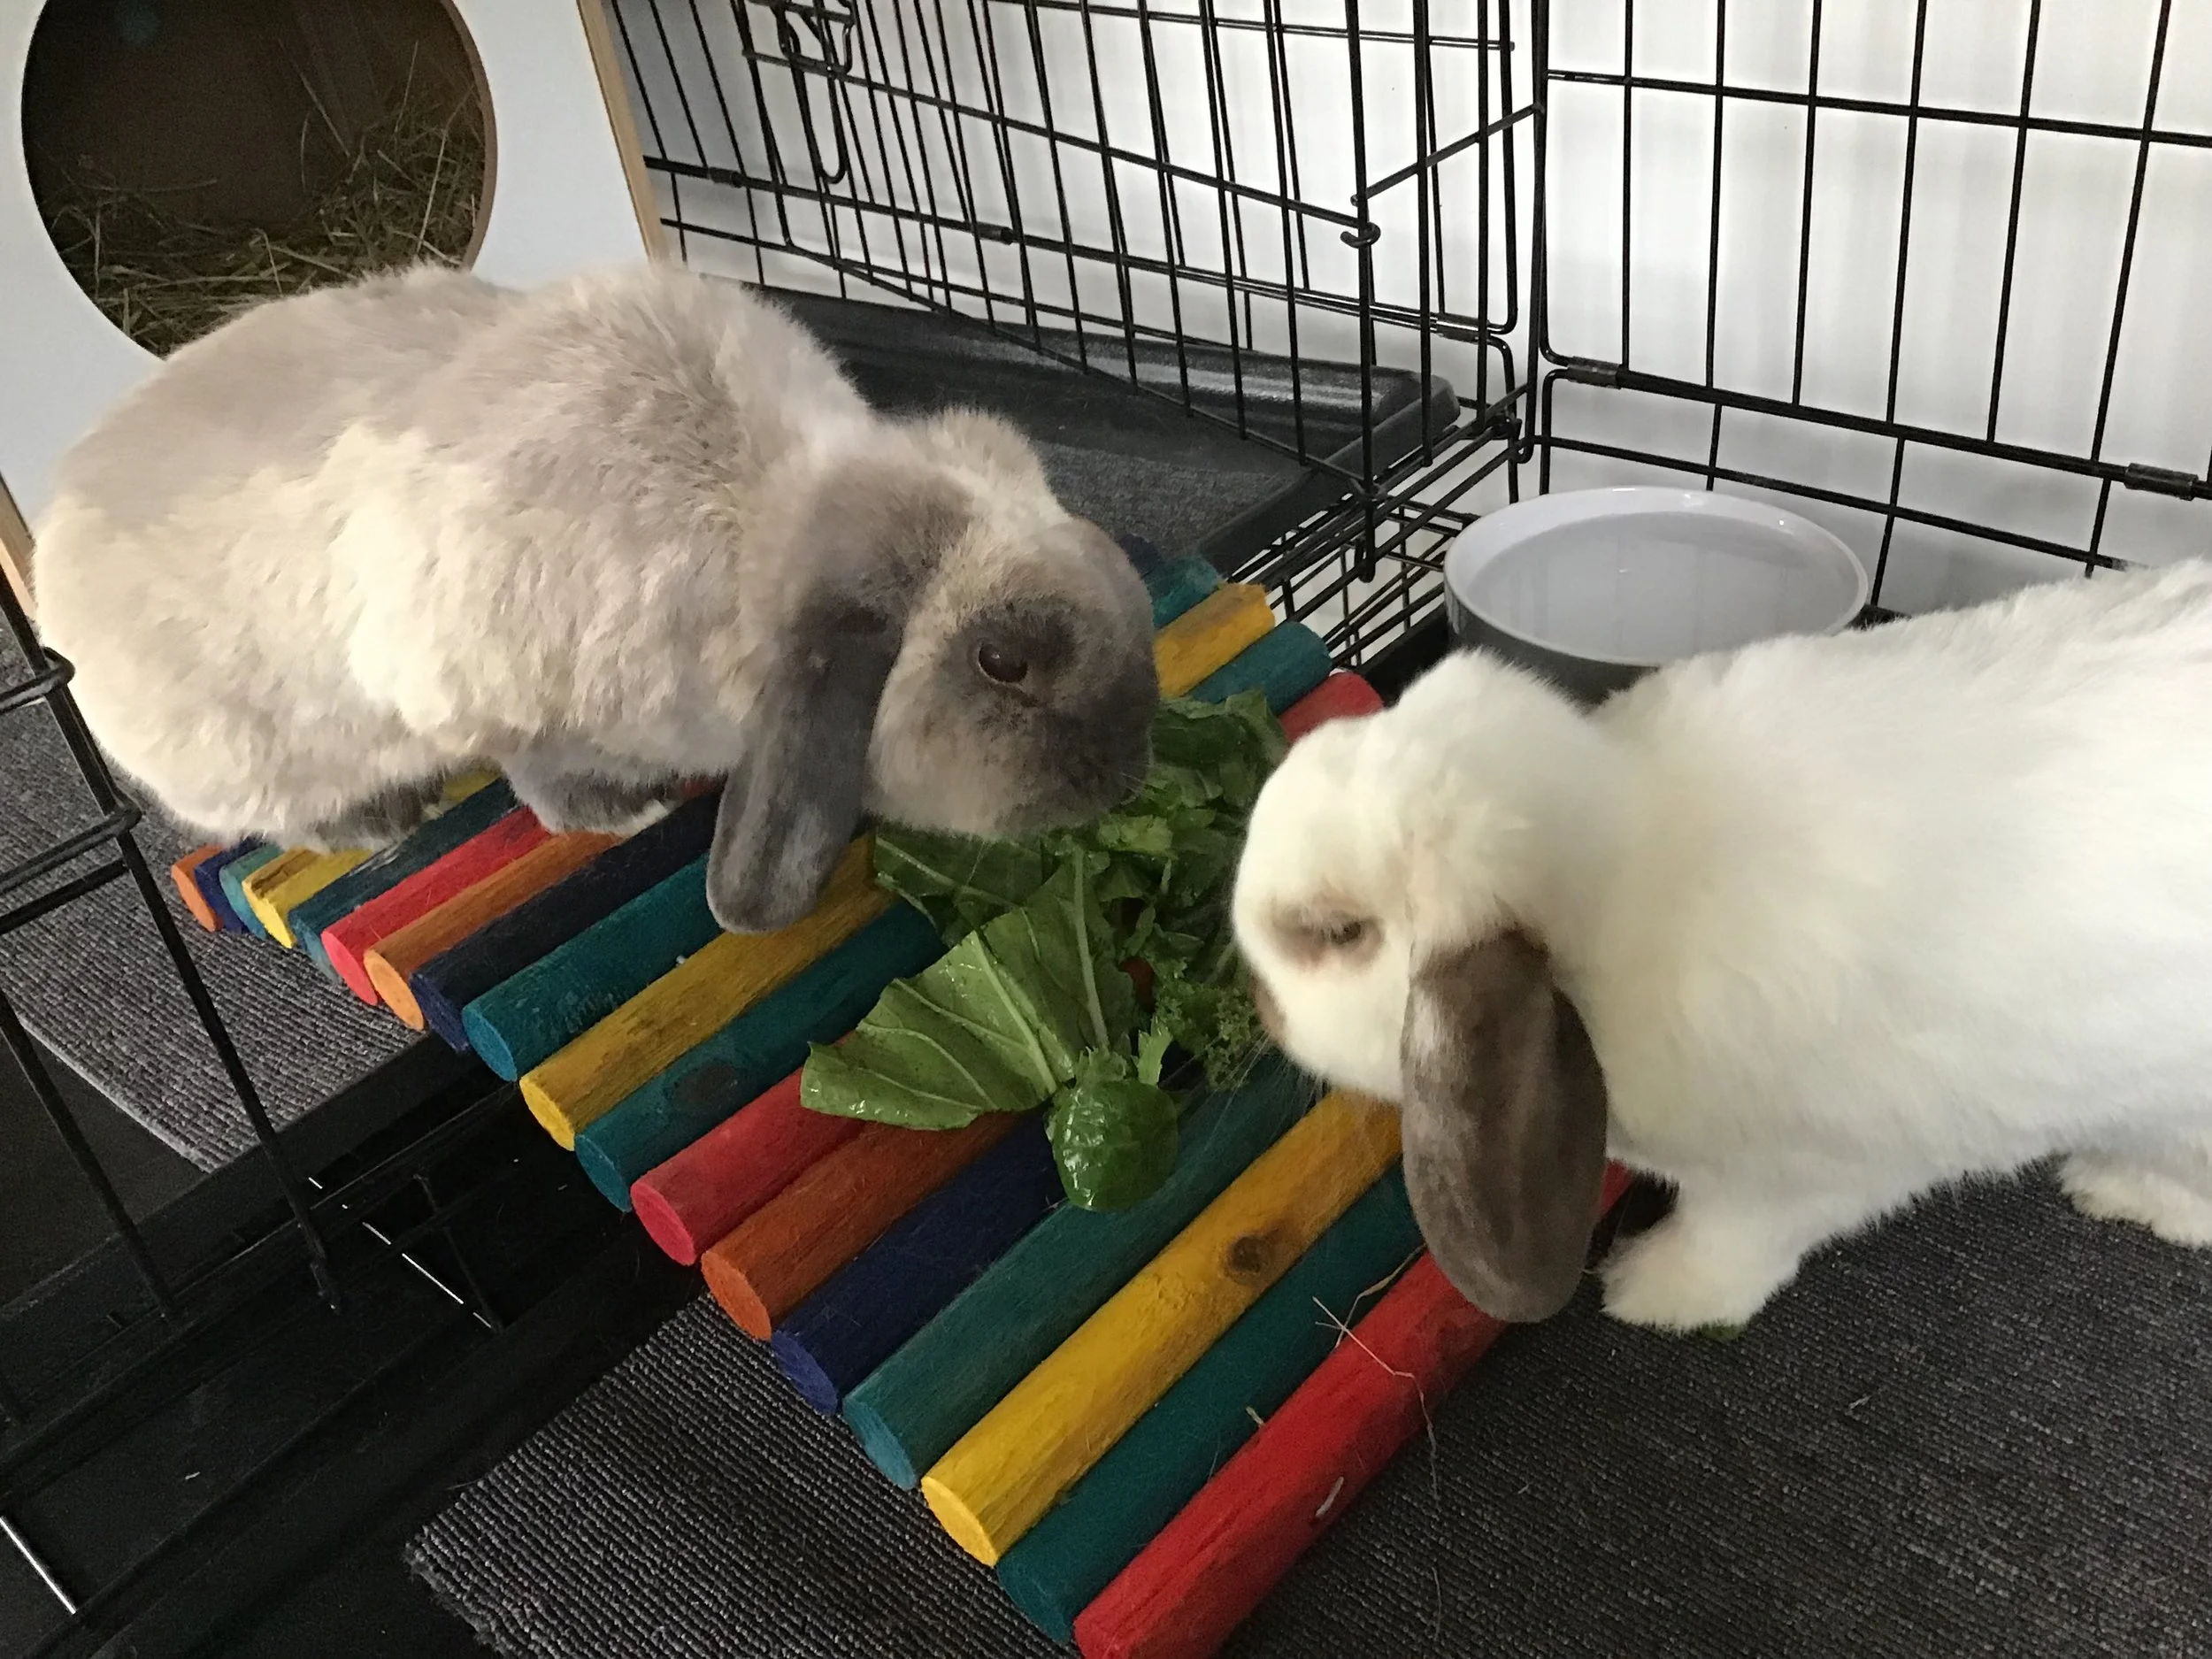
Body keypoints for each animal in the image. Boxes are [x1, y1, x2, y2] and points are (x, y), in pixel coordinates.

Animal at [31, 261, 1158, 933]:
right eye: (1003, 663)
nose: (1124, 776)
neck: (754, 533)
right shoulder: (505, 694)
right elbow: (540, 767)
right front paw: (619, 808)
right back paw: (380, 810)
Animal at [1233, 559, 2212, 1332]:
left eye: (1337, 934)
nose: (1263, 1010)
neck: (1625, 867)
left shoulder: (1796, 1180)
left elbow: (1730, 1246)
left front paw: (1647, 1291)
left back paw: (2113, 1188)